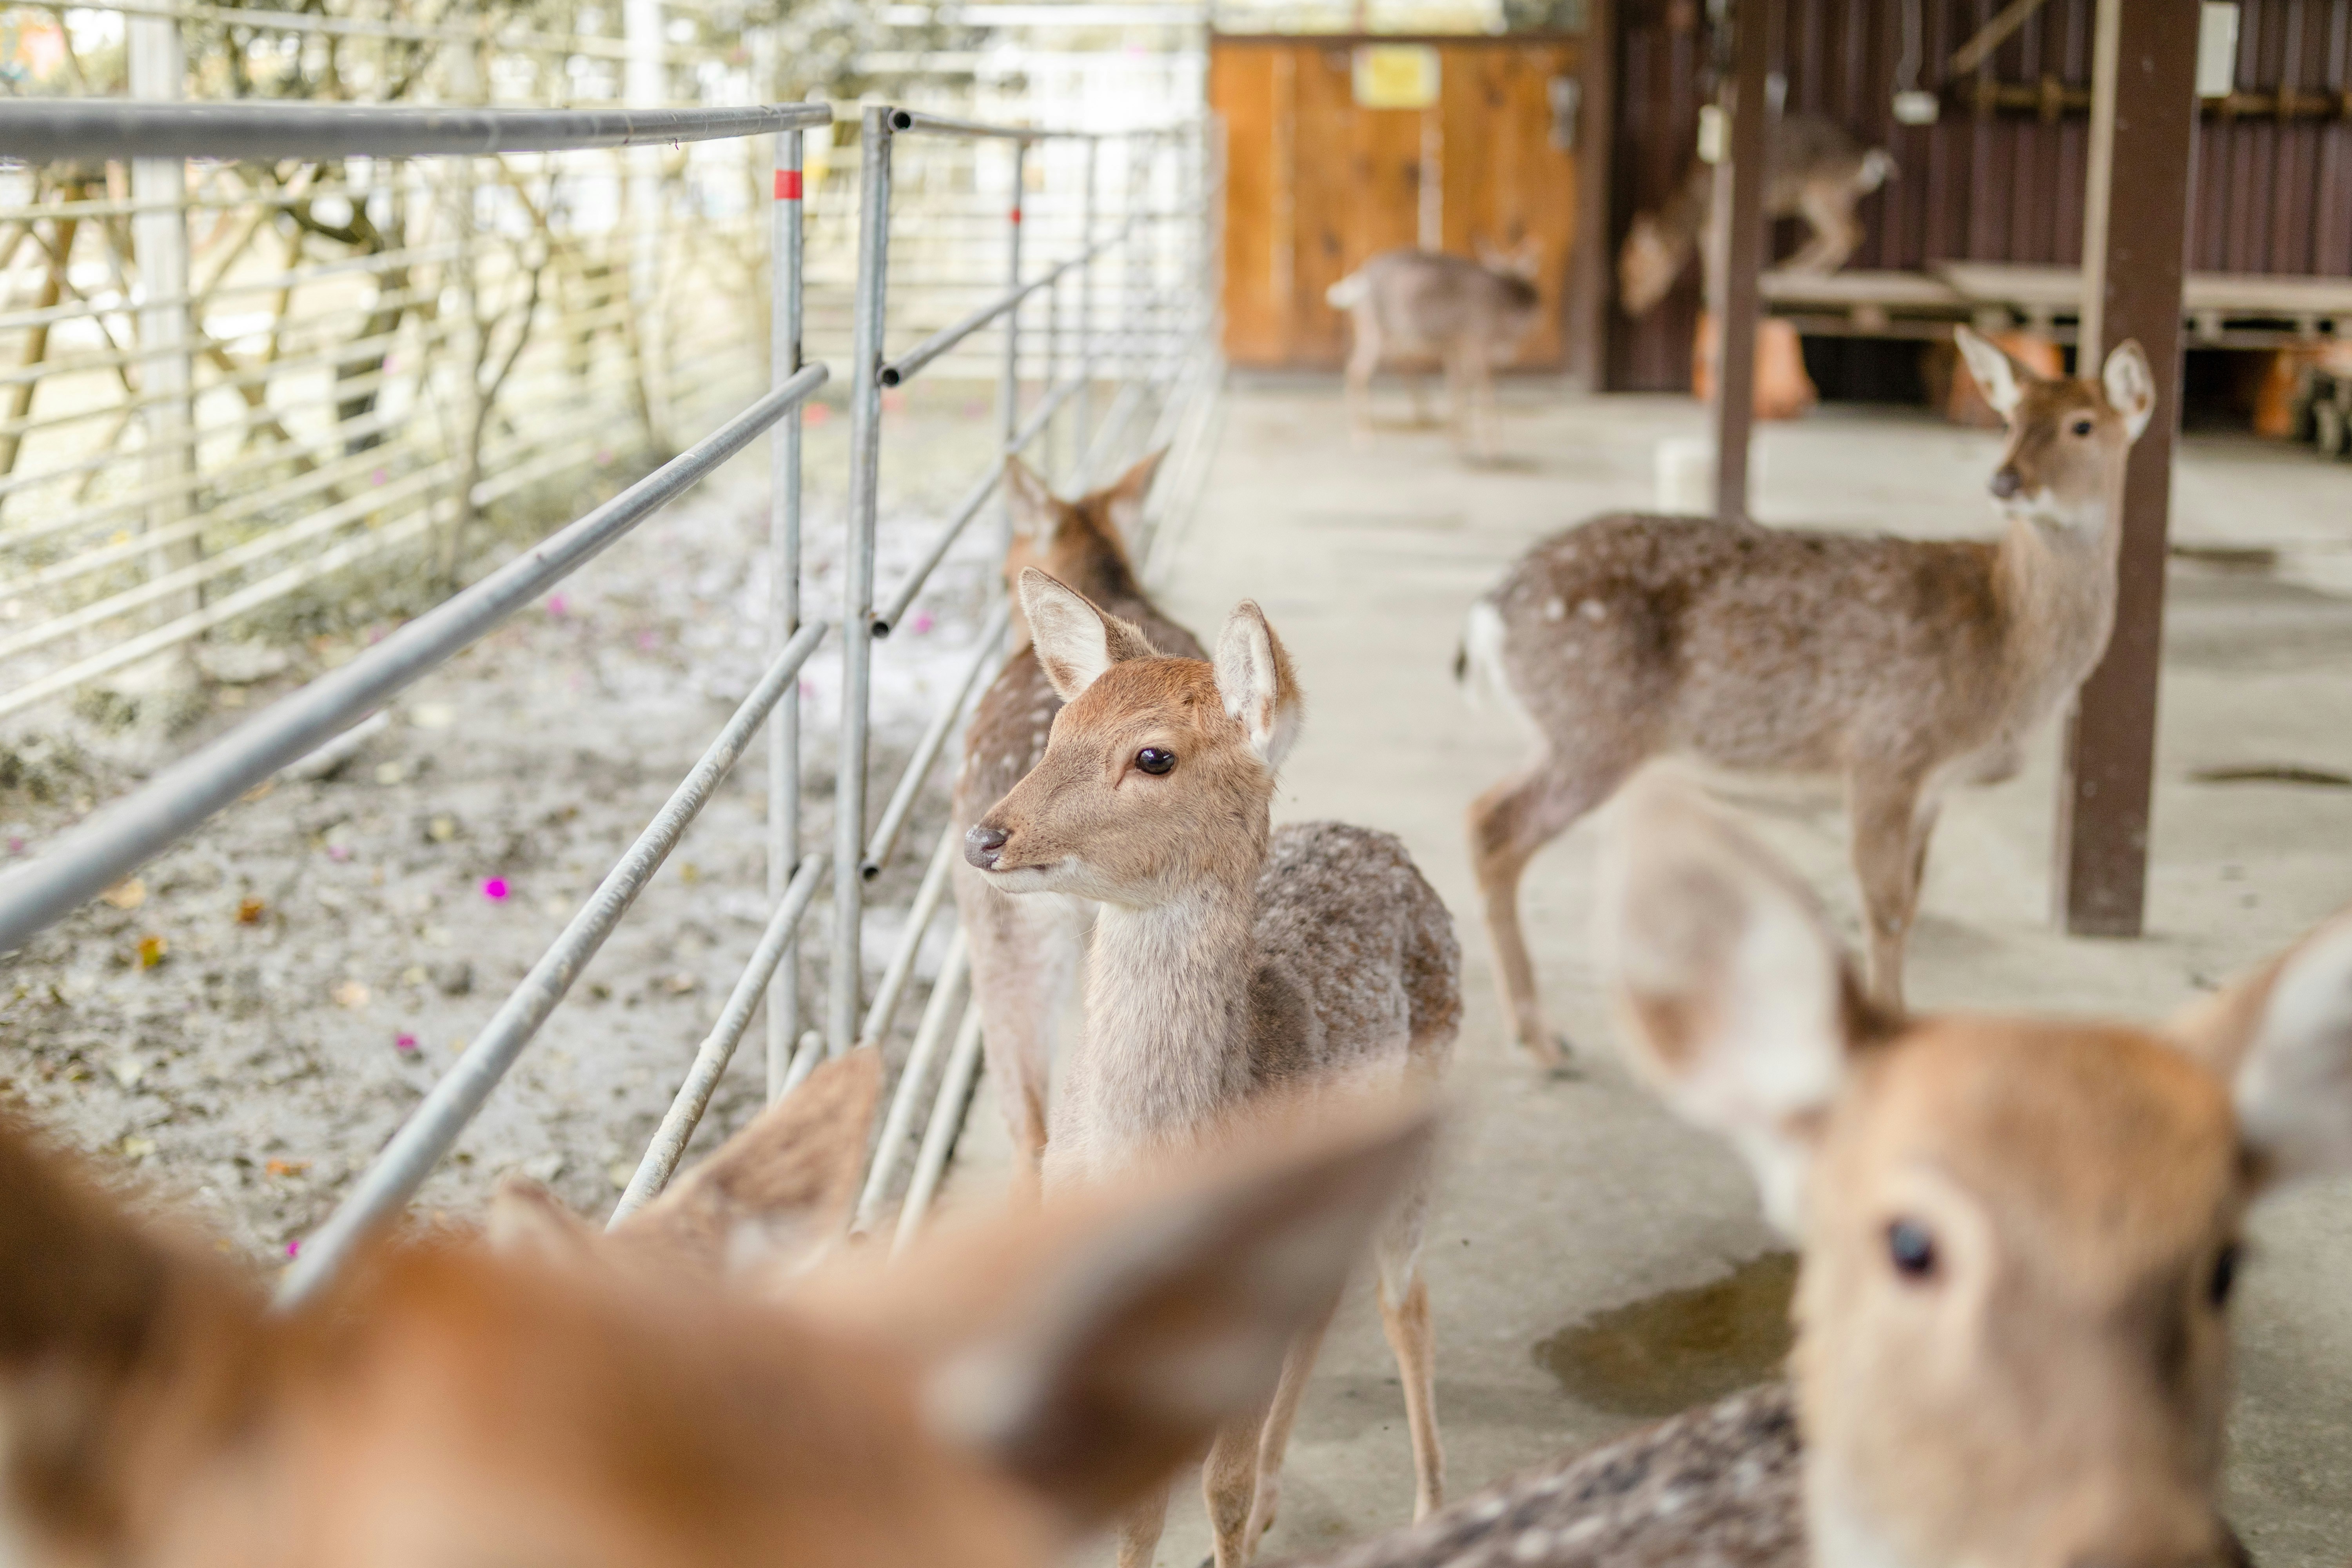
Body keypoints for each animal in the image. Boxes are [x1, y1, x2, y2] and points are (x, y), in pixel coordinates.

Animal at [963, 568, 1462, 1568]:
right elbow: (1141, 1505)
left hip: (1424, 1099)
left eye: (1154, 756)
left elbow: (1215, 1488)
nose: (986, 838)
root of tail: (1384, 840)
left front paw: (1239, 1515)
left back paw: (1430, 1508)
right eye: (1057, 730)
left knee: (1407, 1300)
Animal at [1327, 241, 1543, 459]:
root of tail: (1358, 280)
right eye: (1506, 273)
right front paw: (1491, 447)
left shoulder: (1458, 350)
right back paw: (1363, 434)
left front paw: (1460, 438)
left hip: (1392, 336)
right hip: (1375, 330)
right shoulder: (1476, 345)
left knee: (1397, 365)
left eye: (1525, 272)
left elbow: (1461, 388)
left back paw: (1424, 415)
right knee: (1357, 372)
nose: (1528, 298)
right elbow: (1482, 393)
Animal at [1459, 326, 2157, 1066]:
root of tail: (1490, 611)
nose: (2005, 481)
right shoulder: (1885, 747)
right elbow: (1883, 907)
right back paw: (1539, 1038)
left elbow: (1910, 904)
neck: (2006, 641)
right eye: (2010, 420)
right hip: (1595, 725)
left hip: (1569, 729)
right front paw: (1886, 1037)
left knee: (1484, 815)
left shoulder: (1933, 785)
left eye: (2083, 425)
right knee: (1494, 826)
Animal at [1618, 113, 1893, 319]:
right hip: (1821, 198)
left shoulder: (1719, 216)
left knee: (1847, 233)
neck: (1694, 204)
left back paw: (1803, 272)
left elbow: (1717, 252)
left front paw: (1715, 294)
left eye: (1634, 272)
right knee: (1840, 233)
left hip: (1821, 192)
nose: (1630, 306)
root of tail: (1868, 161)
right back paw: (1791, 266)